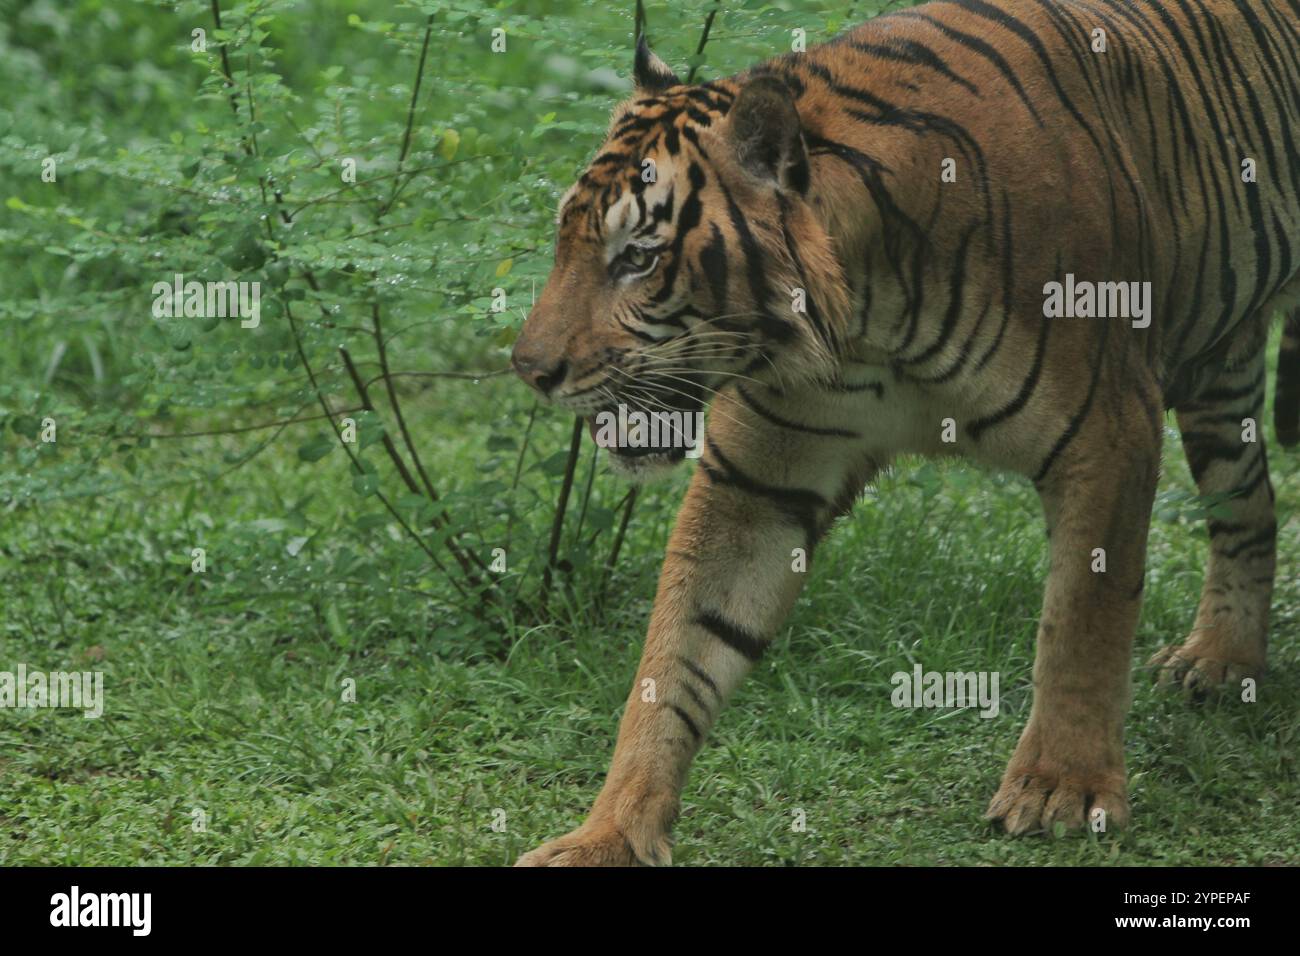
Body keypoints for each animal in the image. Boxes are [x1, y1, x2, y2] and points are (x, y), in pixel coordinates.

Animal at [510, 0, 1300, 865]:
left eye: (639, 257)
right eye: (567, 242)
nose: (529, 368)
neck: (866, 319)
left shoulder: (1108, 432)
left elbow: (1081, 623)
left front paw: (1060, 788)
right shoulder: (756, 480)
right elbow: (679, 652)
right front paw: (610, 833)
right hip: (1219, 373)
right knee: (1252, 504)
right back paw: (1222, 659)